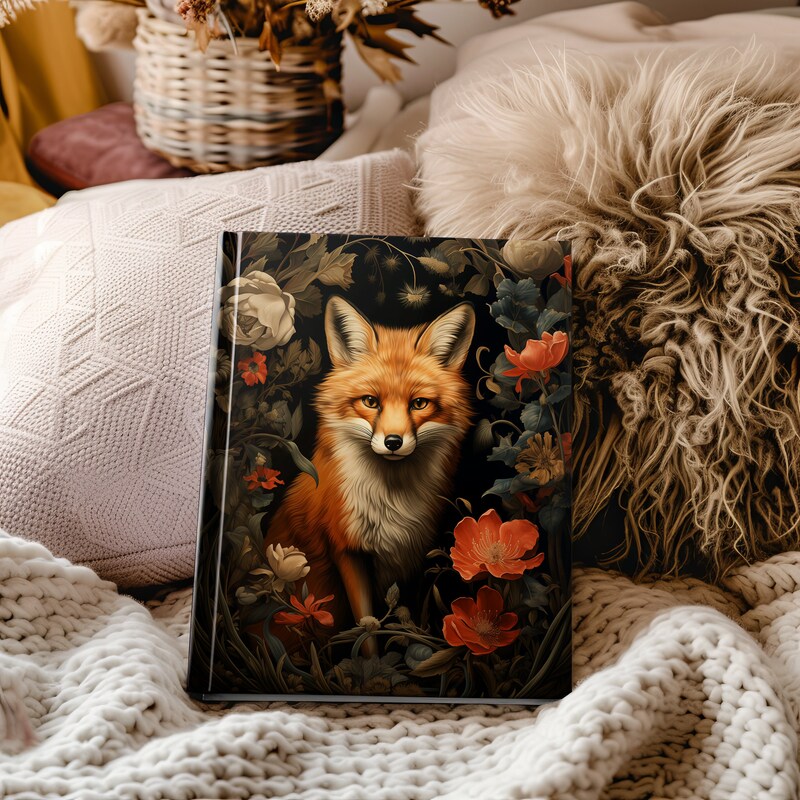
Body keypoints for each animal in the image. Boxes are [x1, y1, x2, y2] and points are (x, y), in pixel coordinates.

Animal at [266, 295, 475, 633]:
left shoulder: (416, 553)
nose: (393, 442)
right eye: (370, 401)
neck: (391, 502)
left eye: (419, 403)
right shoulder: (347, 550)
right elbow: (368, 626)